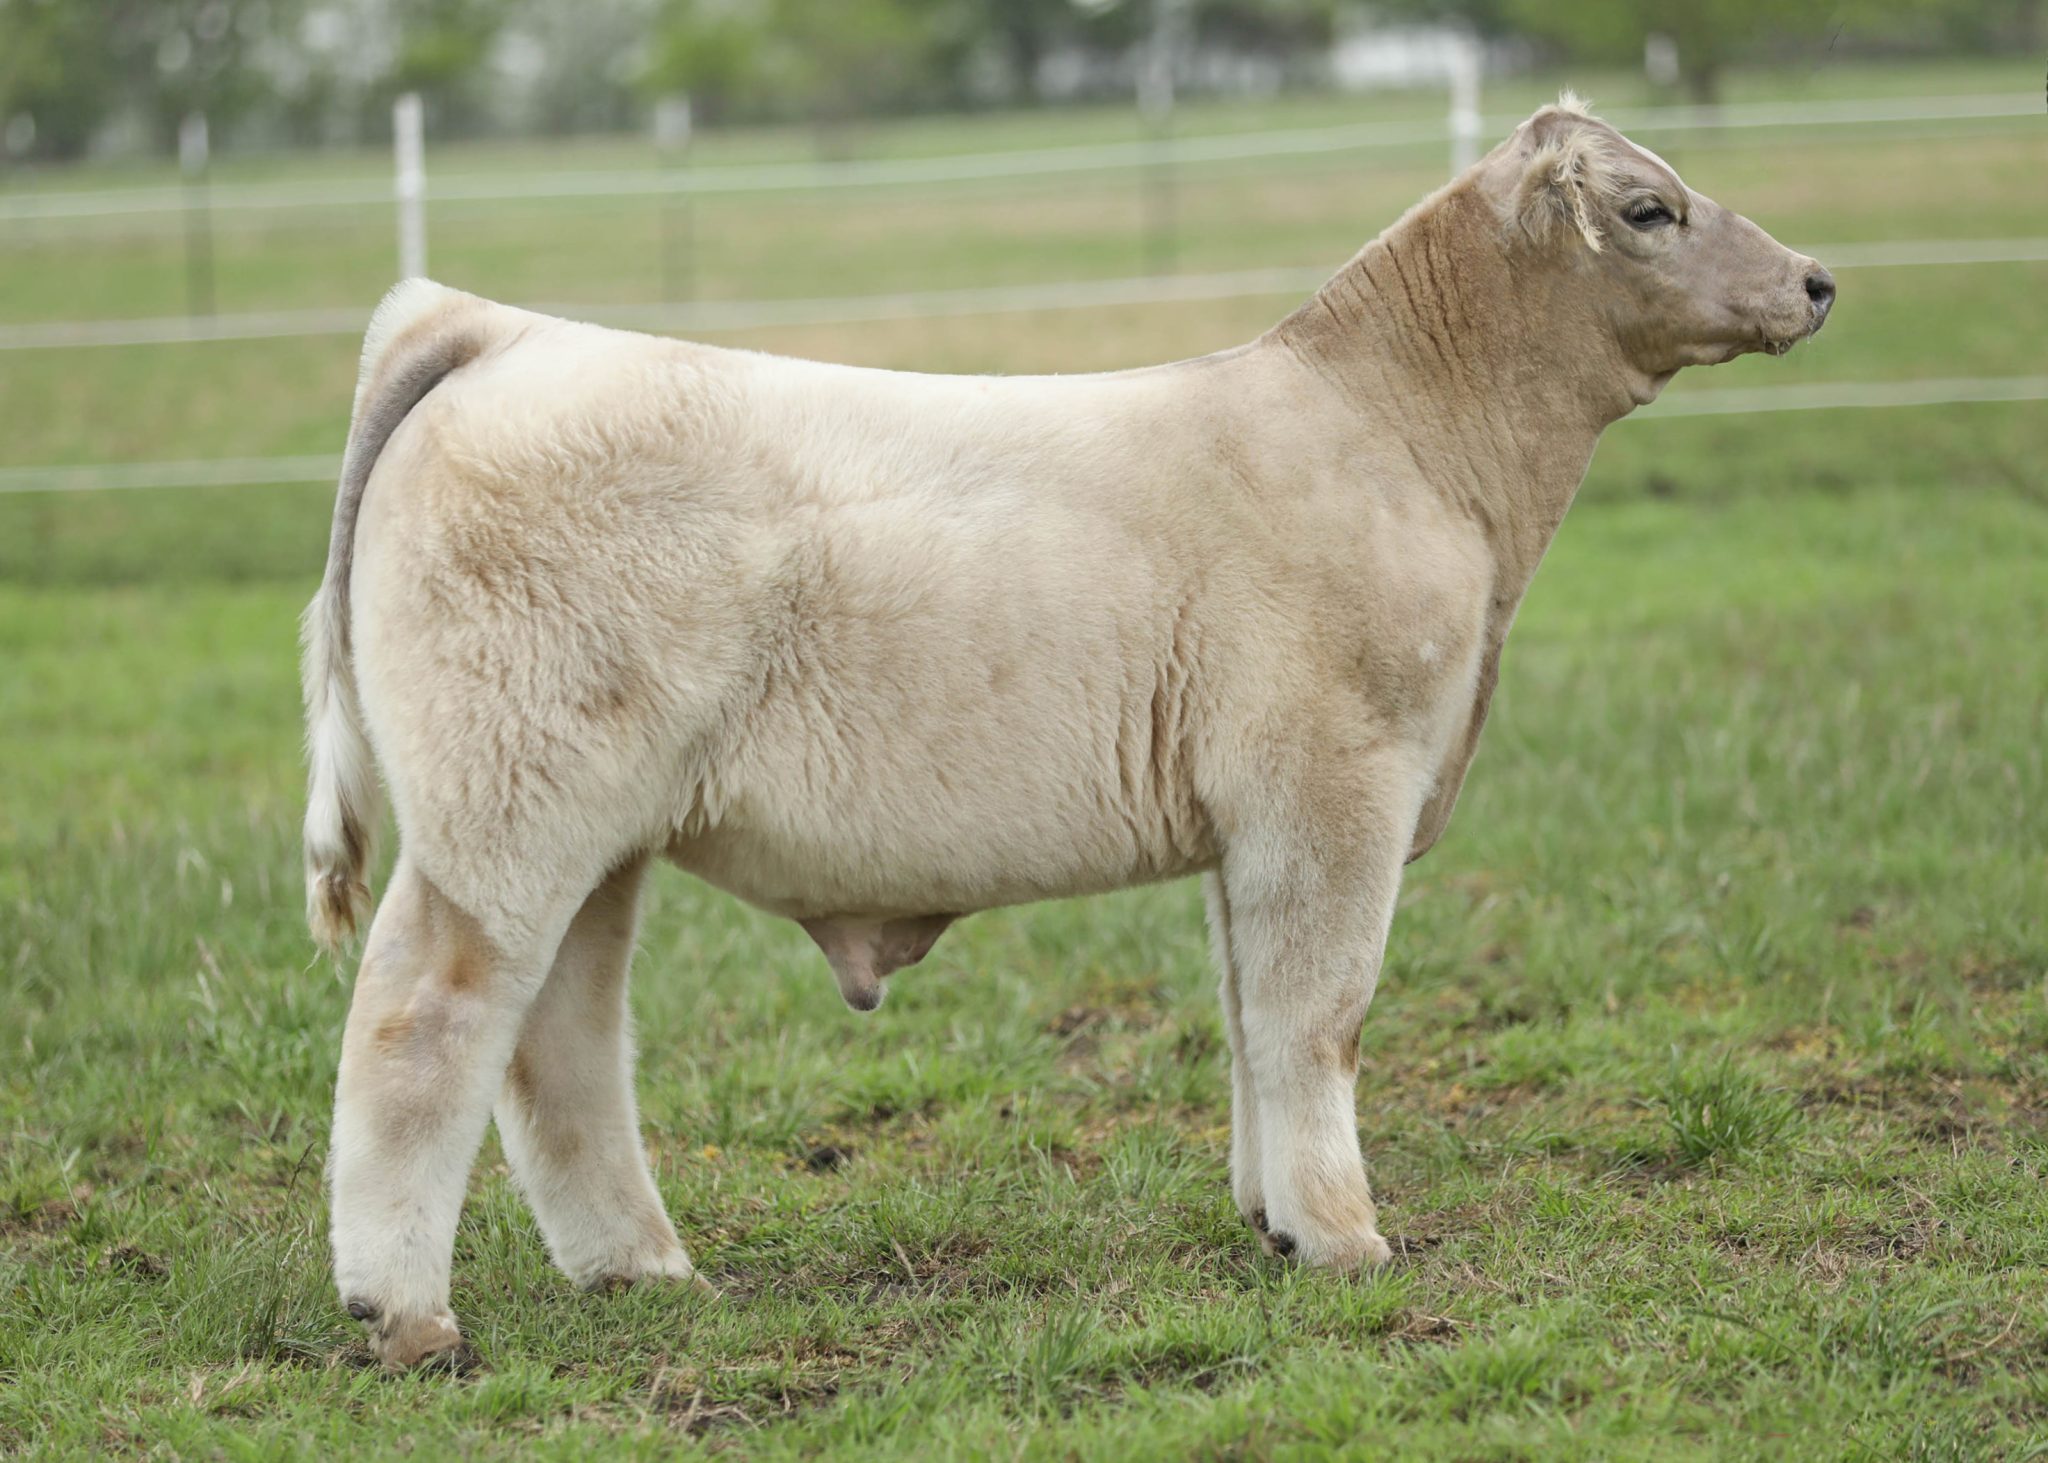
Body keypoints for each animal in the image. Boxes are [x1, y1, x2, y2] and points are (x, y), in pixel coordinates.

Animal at [301, 97, 1834, 1368]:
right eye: (1648, 207)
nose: (1817, 281)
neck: (1404, 443)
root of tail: (502, 330)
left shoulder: (1251, 823)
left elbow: (1249, 1013)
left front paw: (1271, 1215)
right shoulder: (1334, 791)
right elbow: (1316, 1013)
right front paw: (1344, 1236)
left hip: (597, 826)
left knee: (561, 1032)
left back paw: (644, 1270)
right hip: (510, 806)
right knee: (426, 1015)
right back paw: (407, 1310)